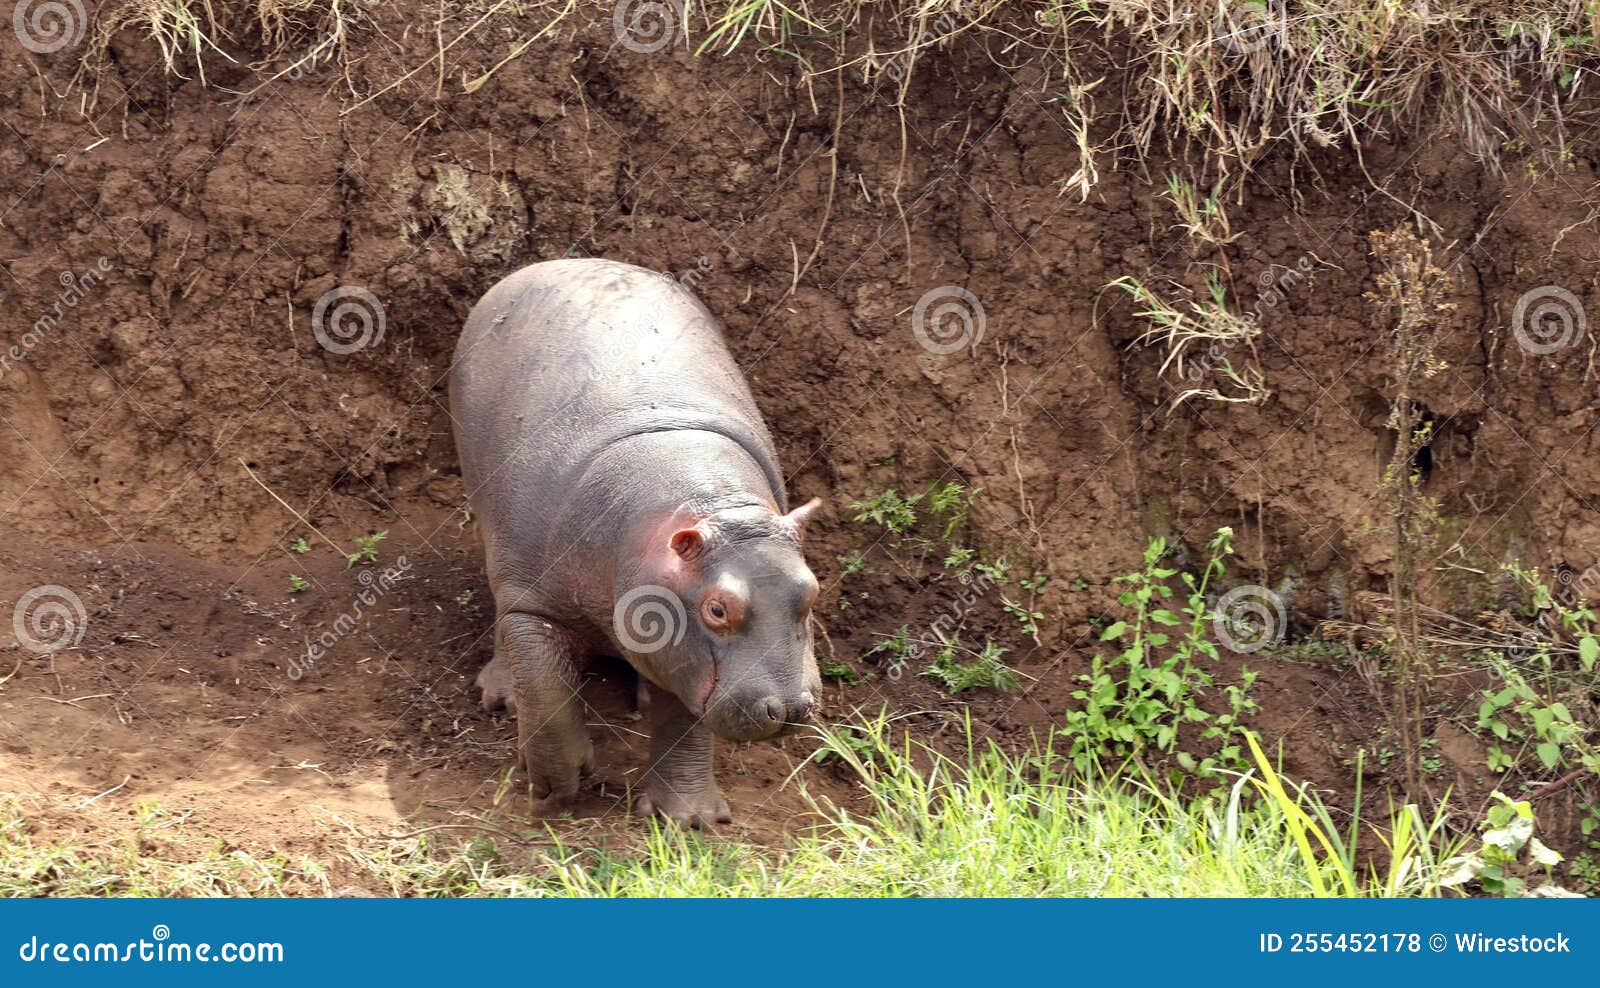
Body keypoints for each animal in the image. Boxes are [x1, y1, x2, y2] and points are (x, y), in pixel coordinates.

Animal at [449, 258, 822, 828]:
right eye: (718, 608)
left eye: (812, 589)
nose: (791, 707)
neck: (714, 507)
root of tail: (557, 262)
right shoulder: (536, 601)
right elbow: (546, 691)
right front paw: (559, 788)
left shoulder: (681, 653)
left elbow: (685, 723)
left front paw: (689, 821)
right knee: (502, 610)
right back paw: (501, 696)